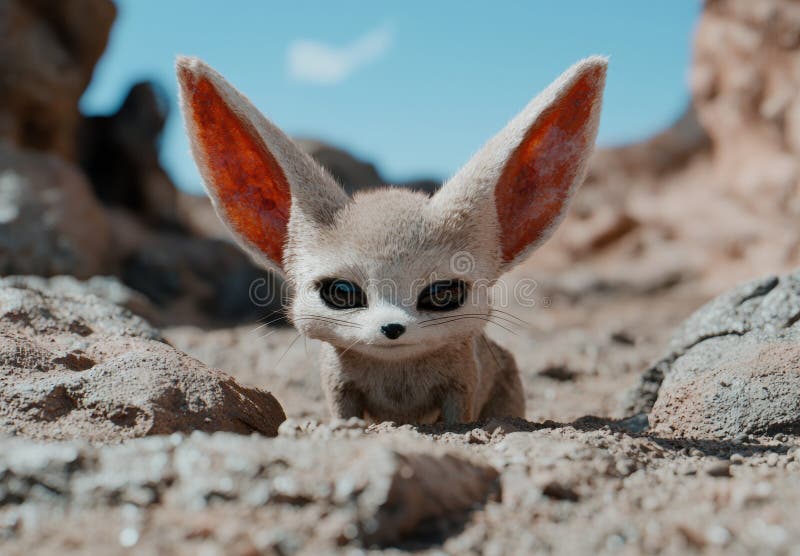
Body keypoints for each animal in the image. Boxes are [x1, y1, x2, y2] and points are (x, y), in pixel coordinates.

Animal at [176, 56, 606, 425]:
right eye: (342, 292)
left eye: (442, 294)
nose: (392, 328)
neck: (396, 372)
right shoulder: (339, 384)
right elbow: (343, 415)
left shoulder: (462, 382)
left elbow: (458, 418)